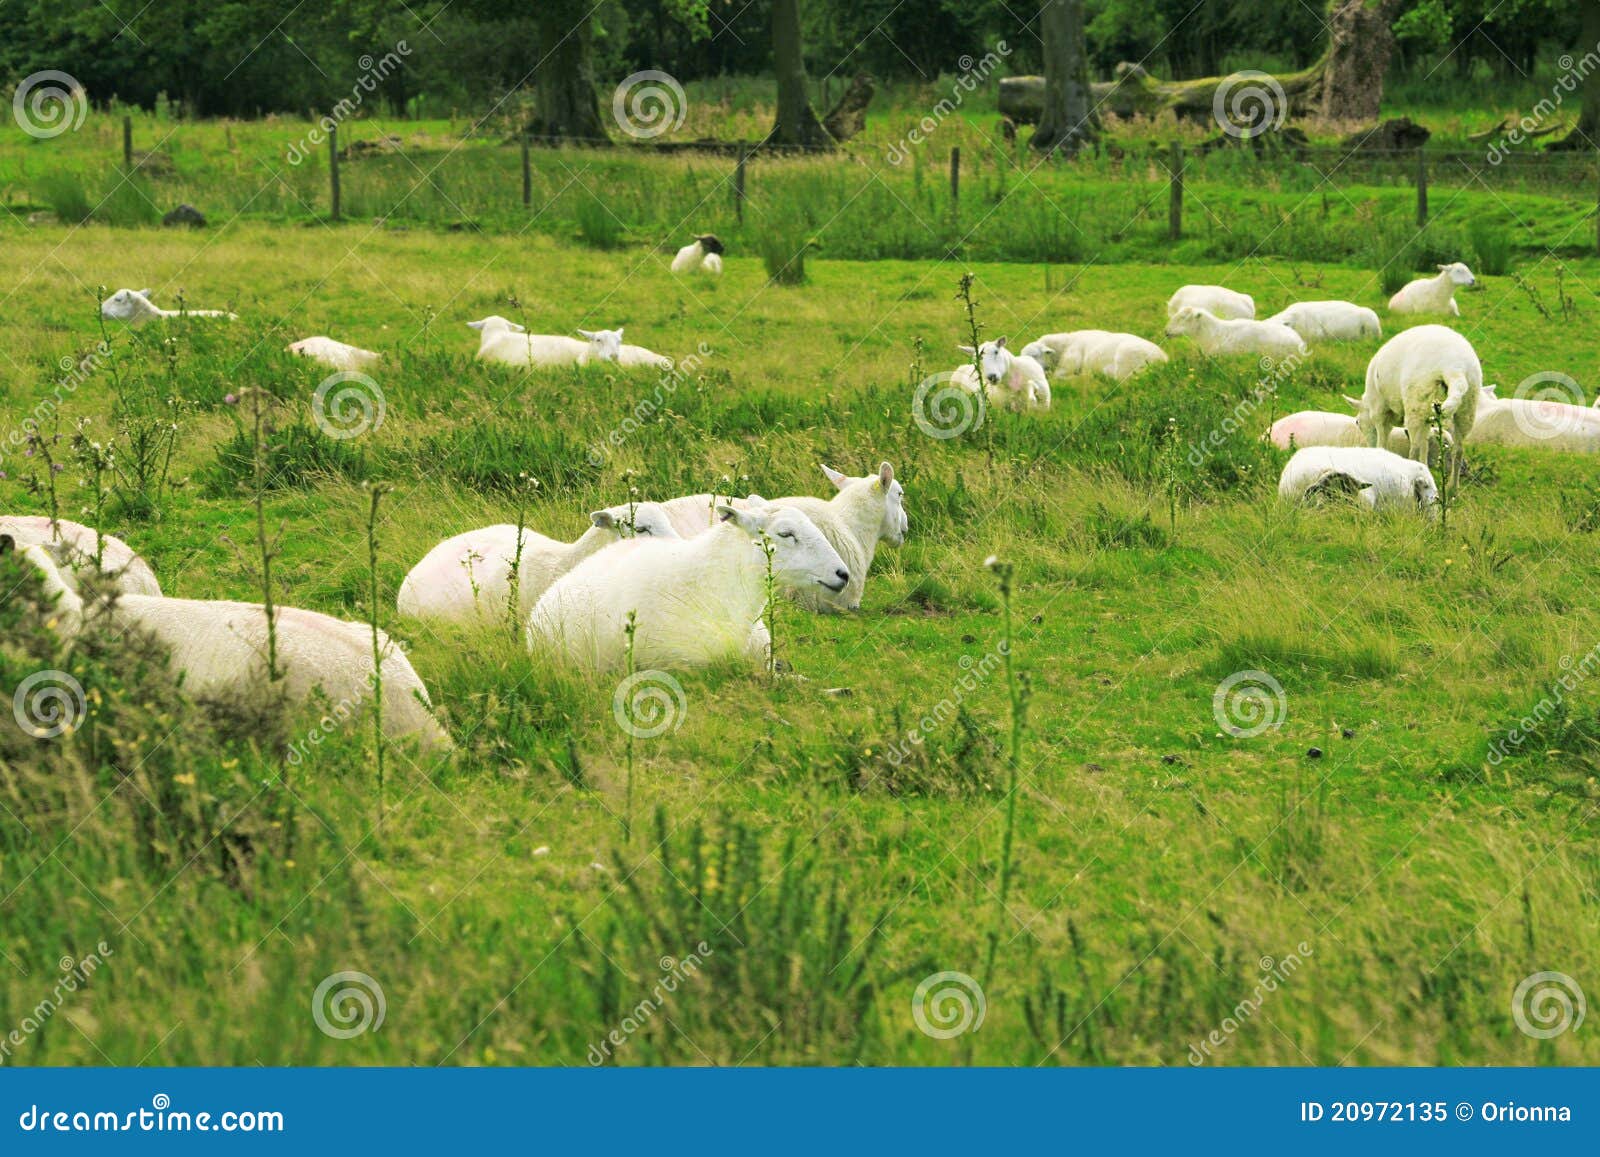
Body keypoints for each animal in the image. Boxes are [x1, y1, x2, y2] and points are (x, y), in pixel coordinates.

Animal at [1357, 324, 1480, 485]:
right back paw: (1452, 487)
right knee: (1459, 449)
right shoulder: (1428, 419)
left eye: (1358, 423)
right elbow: (1425, 445)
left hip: (1417, 398)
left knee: (1414, 448)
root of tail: (1454, 367)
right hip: (1467, 404)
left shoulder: (1379, 412)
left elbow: (1383, 441)